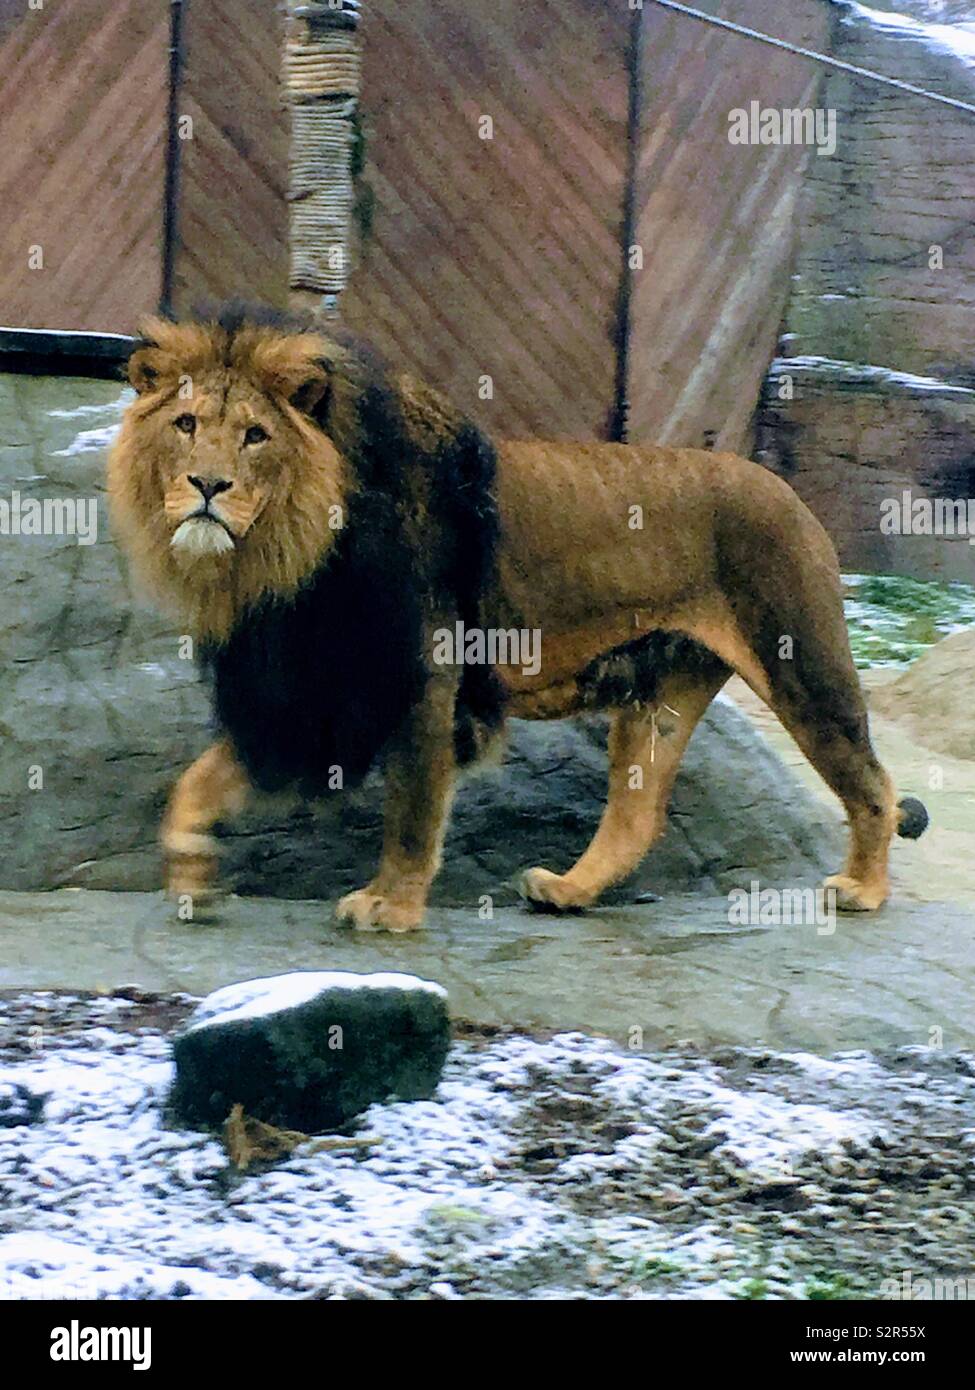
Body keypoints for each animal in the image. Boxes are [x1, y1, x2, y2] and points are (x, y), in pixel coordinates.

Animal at [107, 304, 928, 932]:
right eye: (185, 424)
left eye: (255, 435)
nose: (206, 486)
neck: (286, 553)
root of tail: (783, 487)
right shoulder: (302, 689)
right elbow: (197, 782)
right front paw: (193, 873)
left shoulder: (424, 676)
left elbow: (413, 806)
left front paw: (389, 906)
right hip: (658, 694)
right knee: (636, 815)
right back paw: (566, 891)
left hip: (801, 659)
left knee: (872, 784)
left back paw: (863, 889)